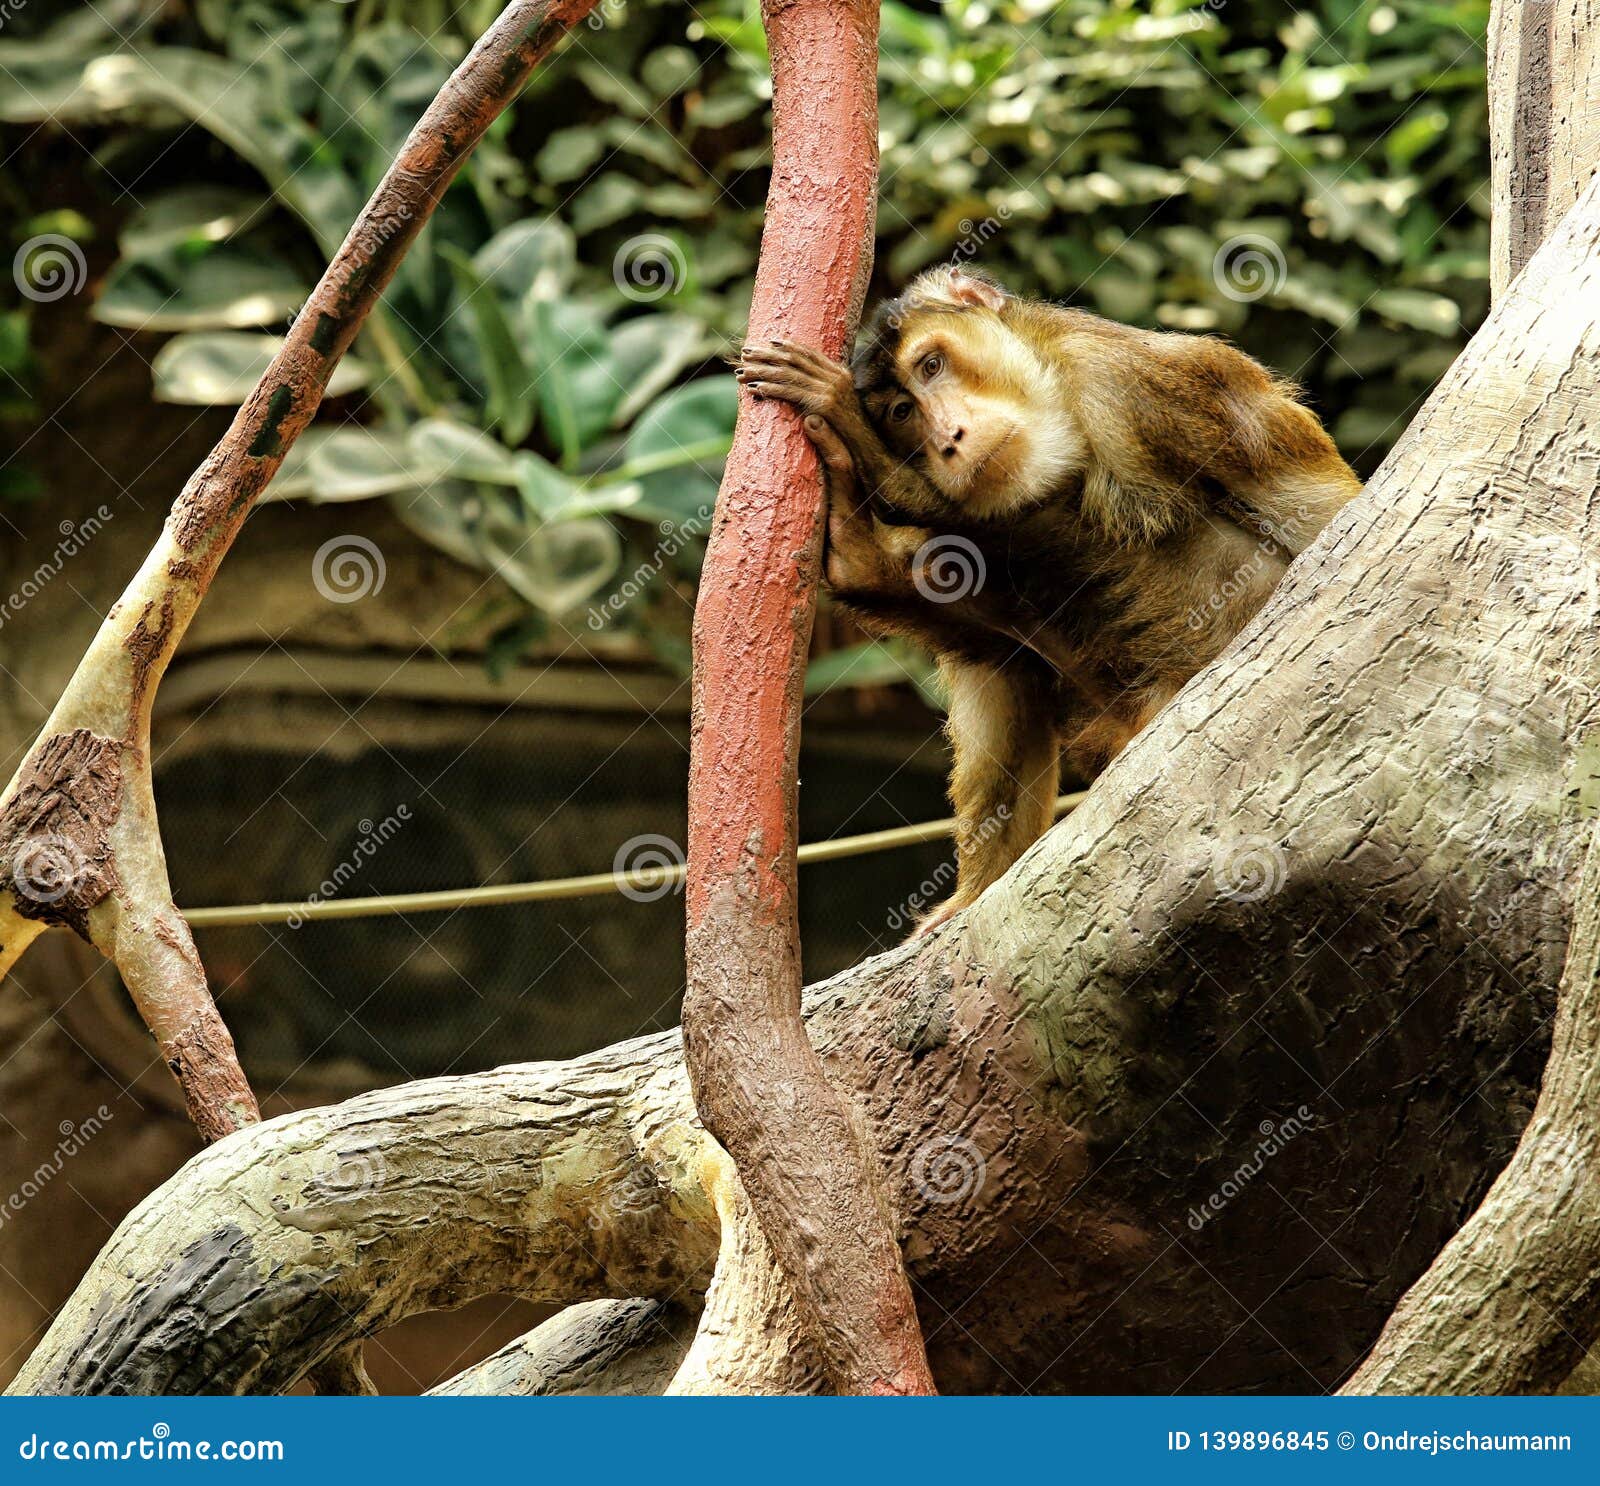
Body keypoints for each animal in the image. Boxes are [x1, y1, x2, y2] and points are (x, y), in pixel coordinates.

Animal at [738, 265, 1361, 931]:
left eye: (931, 366)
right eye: (903, 412)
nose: (950, 438)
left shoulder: (1140, 386)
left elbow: (1323, 529)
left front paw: (874, 458)